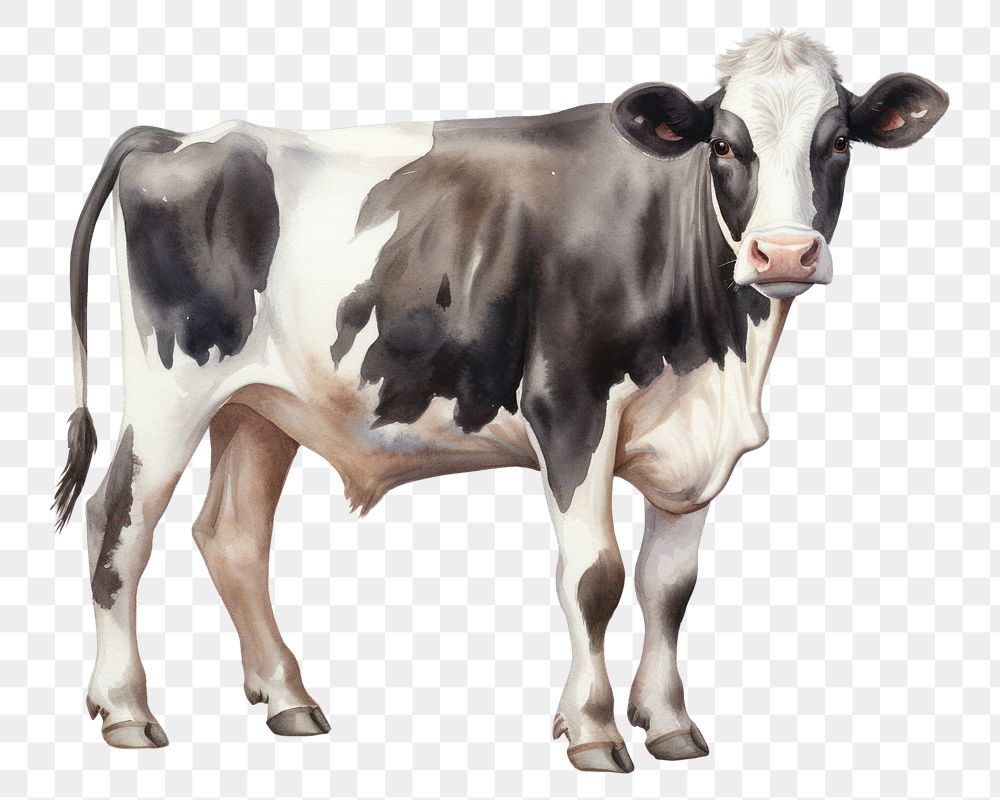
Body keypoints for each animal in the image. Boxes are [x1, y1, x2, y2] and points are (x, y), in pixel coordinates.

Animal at [55, 31, 947, 770]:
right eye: (726, 144)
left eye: (838, 142)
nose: (784, 253)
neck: (721, 352)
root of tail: (181, 139)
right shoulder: (570, 406)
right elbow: (595, 576)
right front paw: (592, 729)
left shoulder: (691, 445)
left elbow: (668, 586)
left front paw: (668, 724)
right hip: (171, 390)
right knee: (117, 519)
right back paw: (126, 709)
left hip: (260, 407)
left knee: (233, 535)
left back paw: (288, 698)